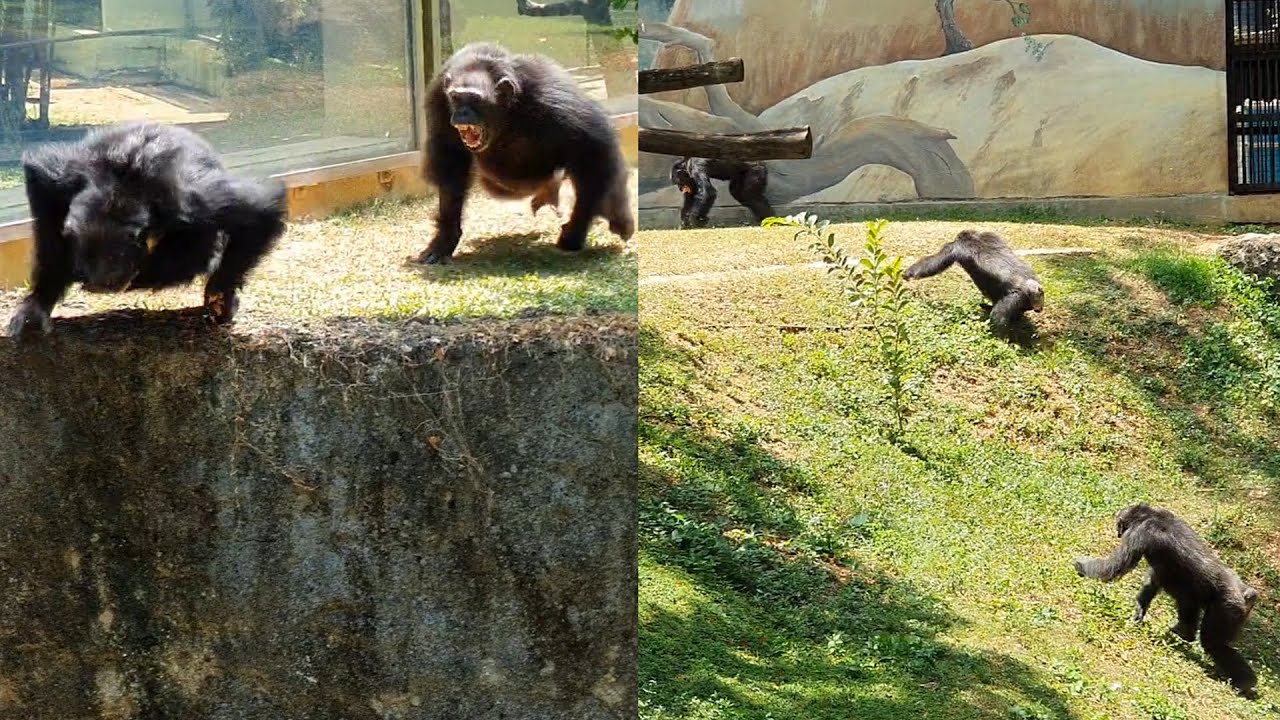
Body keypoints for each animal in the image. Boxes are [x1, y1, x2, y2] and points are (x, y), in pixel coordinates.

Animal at [7, 121, 287, 338]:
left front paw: (220, 295)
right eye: (89, 253)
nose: (99, 282)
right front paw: (40, 302)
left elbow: (259, 210)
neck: (124, 186)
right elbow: (46, 207)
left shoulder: (198, 200)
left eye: (115, 256)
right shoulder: (57, 178)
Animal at [416, 42, 634, 265]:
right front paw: (444, 240)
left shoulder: (555, 99)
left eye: (475, 99)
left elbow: (595, 145)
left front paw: (574, 232)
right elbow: (450, 164)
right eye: (456, 97)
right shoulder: (438, 97)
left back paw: (619, 219)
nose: (461, 113)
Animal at [903, 229, 1044, 331]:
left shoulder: (953, 248)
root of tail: (1033, 287)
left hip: (1017, 298)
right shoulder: (992, 235)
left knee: (998, 317)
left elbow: (933, 263)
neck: (974, 237)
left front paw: (908, 274)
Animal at [1074, 503, 1260, 696]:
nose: (1118, 532)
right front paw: (1139, 610)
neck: (1152, 516)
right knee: (1188, 604)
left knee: (1213, 643)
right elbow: (1153, 580)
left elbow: (1115, 565)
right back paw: (1184, 632)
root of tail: (1247, 595)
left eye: (1120, 524)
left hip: (1229, 607)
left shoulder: (1139, 533)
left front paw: (1080, 565)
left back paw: (1245, 682)